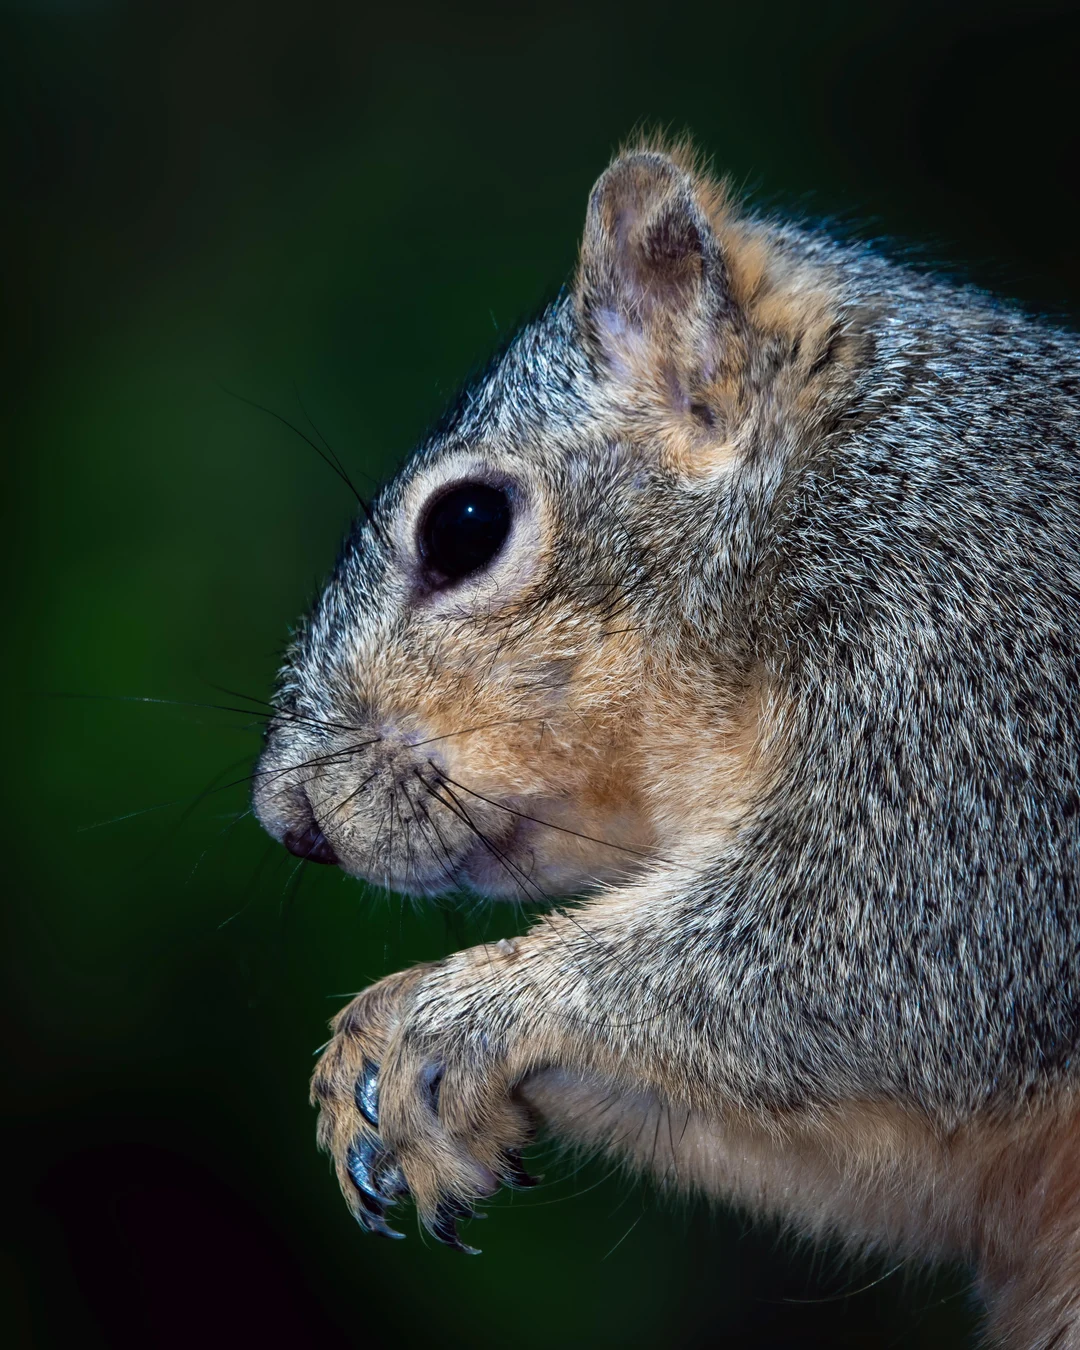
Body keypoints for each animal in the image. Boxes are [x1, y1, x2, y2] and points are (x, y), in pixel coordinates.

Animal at [252, 140, 1080, 1347]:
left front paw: (444, 1013)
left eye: (465, 527)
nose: (285, 814)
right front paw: (372, 1059)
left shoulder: (990, 682)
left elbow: (905, 942)